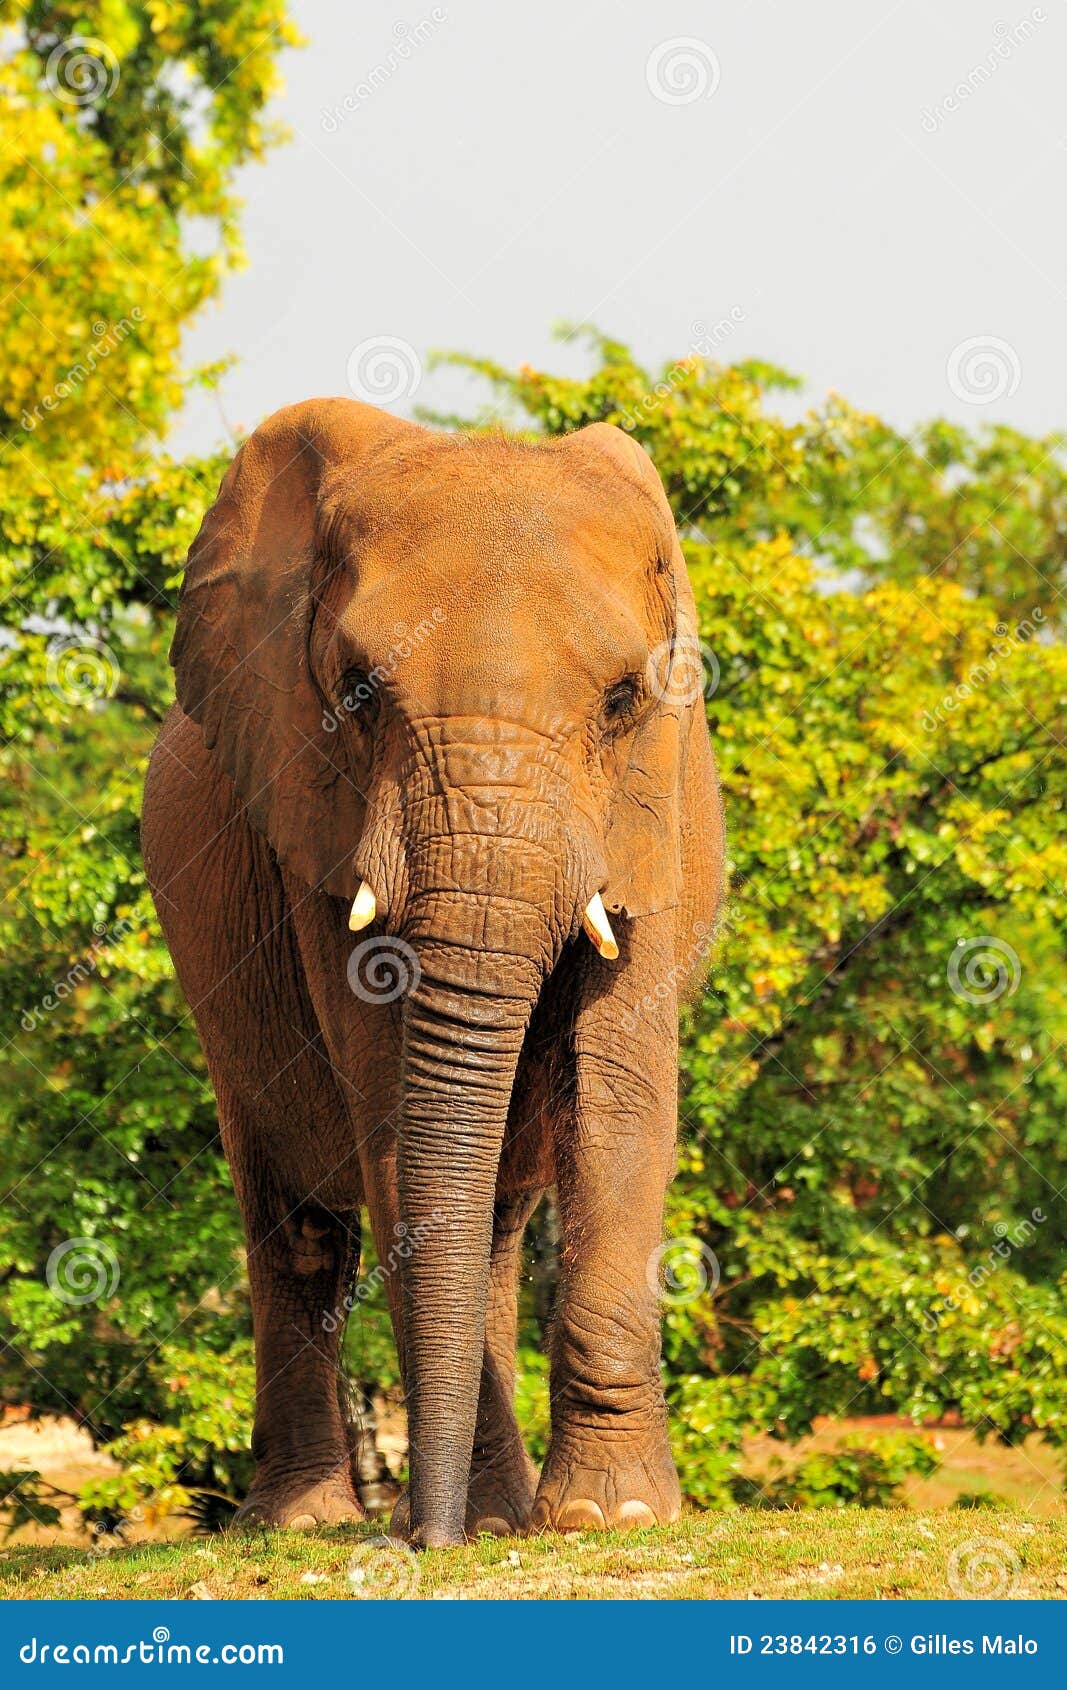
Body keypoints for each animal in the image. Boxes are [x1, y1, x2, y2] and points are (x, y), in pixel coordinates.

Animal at [141, 398, 724, 1548]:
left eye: (623, 699)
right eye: (357, 695)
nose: (431, 1539)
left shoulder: (650, 809)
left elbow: (620, 1099)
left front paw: (610, 1516)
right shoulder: (312, 810)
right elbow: (391, 1109)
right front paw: (497, 1519)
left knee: (487, 1218)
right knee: (297, 1225)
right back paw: (300, 1521)